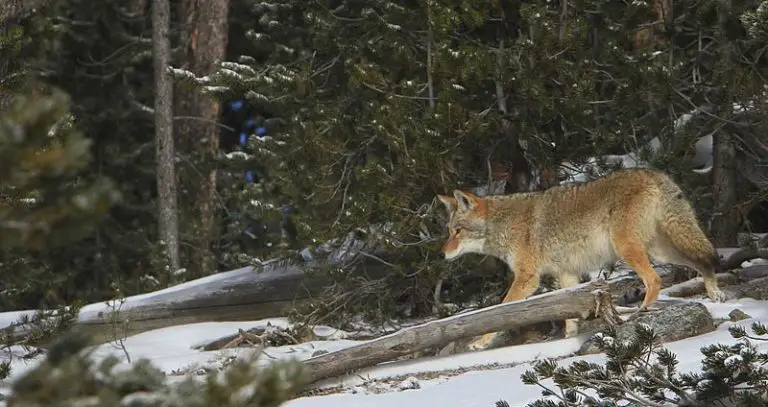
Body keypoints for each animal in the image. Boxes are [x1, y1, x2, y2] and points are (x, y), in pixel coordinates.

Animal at [436, 168, 728, 351]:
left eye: (457, 231)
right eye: (449, 230)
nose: (442, 254)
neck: (504, 224)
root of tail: (653, 173)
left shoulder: (527, 279)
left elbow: (501, 311)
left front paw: (480, 341)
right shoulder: (567, 275)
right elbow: (568, 314)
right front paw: (568, 339)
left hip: (630, 250)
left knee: (655, 279)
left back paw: (640, 313)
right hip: (663, 249)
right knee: (703, 261)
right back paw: (715, 294)